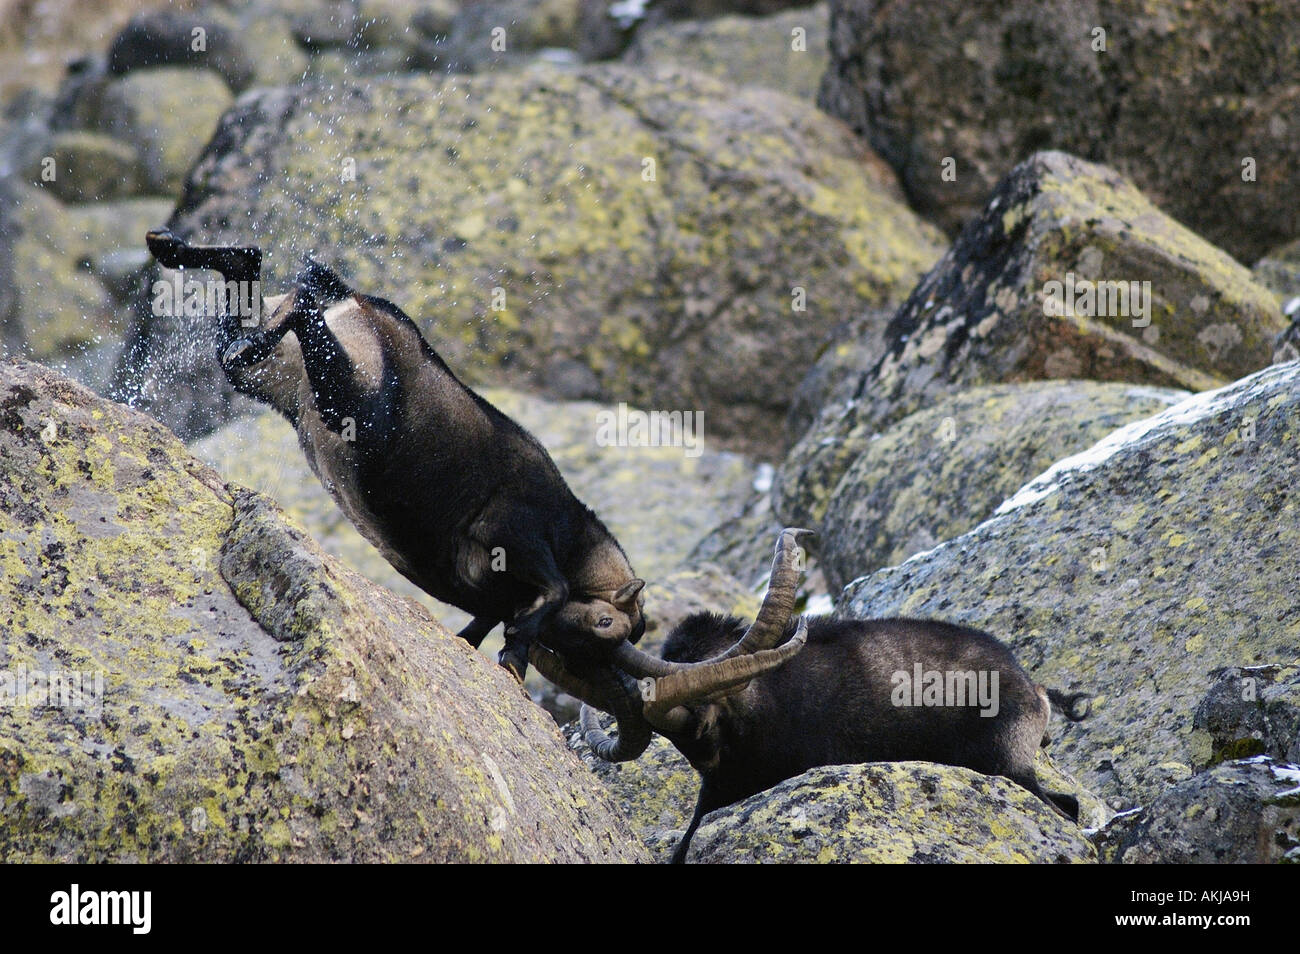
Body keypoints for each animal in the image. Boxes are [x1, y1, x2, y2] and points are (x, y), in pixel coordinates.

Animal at [143, 228, 648, 681]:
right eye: (605, 622)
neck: (575, 537)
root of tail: (361, 302)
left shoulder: (494, 594)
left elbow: (481, 624)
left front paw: (502, 650)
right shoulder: (512, 526)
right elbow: (555, 589)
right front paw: (516, 654)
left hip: (279, 379)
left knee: (248, 279)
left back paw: (173, 249)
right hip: (357, 407)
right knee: (299, 303)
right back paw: (271, 313)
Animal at [579, 529, 1091, 863]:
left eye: (713, 700)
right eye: (668, 735)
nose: (705, 753)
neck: (766, 709)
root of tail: (1034, 688)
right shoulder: (718, 790)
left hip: (1005, 762)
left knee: (1063, 807)